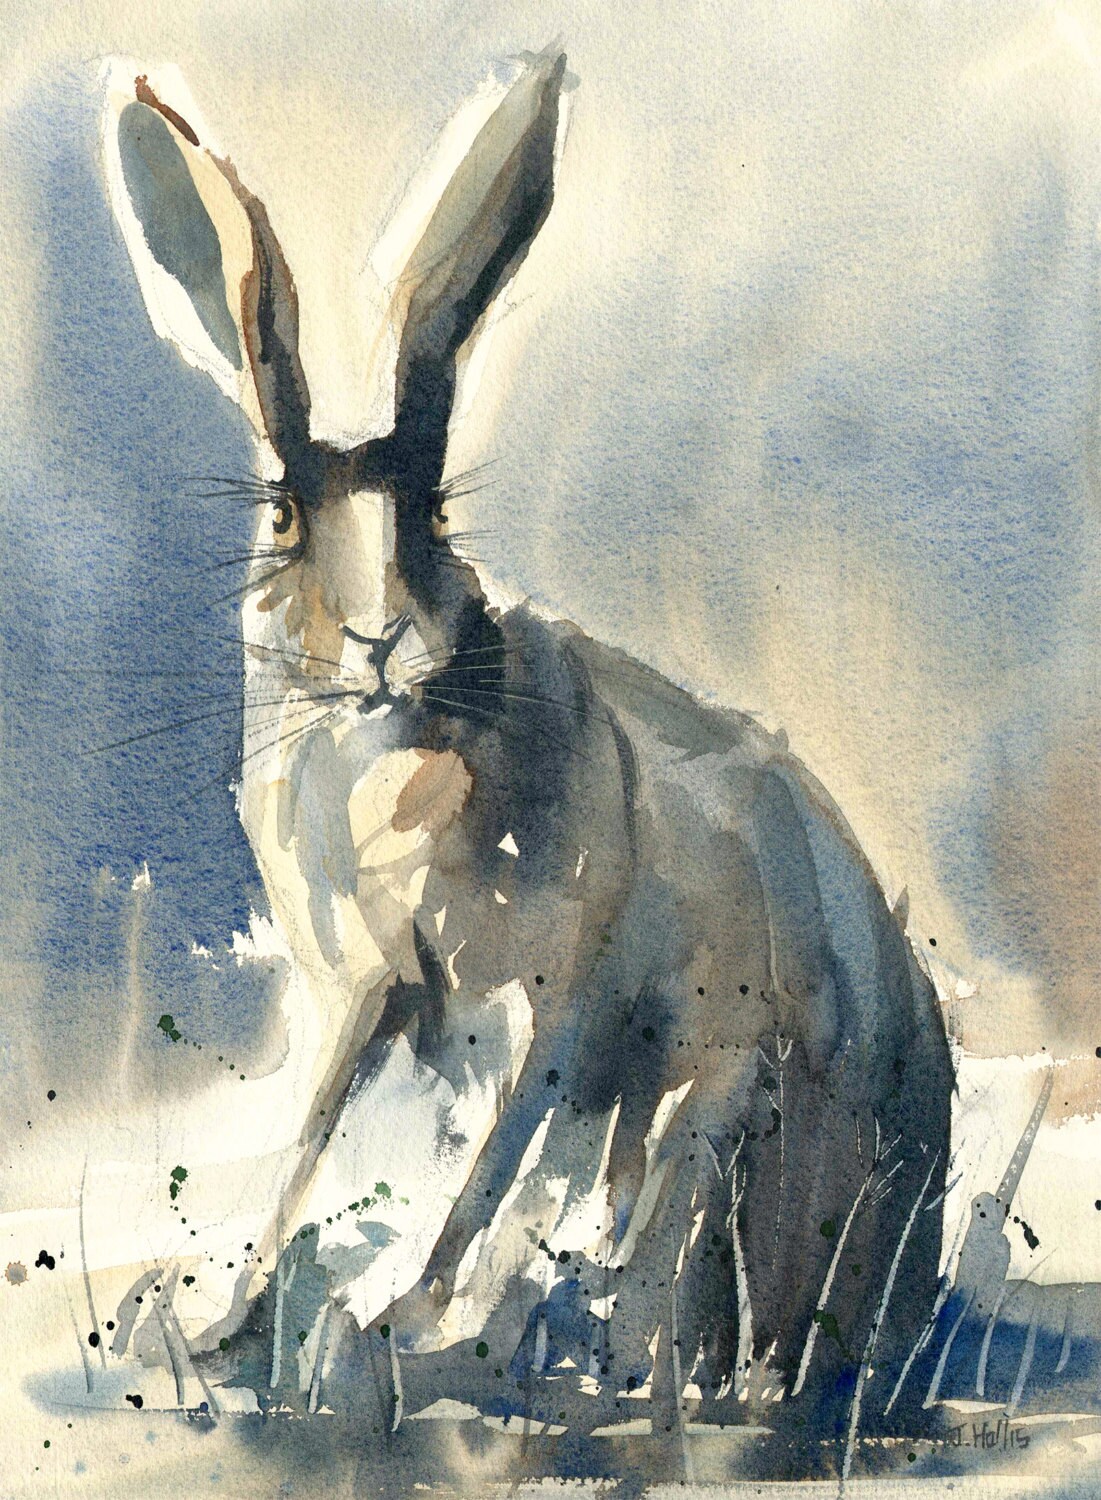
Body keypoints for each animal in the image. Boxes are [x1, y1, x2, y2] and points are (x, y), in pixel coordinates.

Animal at [102, 48, 953, 1443]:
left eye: (438, 516)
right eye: (282, 515)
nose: (383, 640)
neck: (398, 765)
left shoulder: (544, 1005)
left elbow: (482, 1160)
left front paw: (389, 1312)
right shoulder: (363, 992)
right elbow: (309, 1138)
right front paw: (223, 1314)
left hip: (721, 1109)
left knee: (659, 1260)